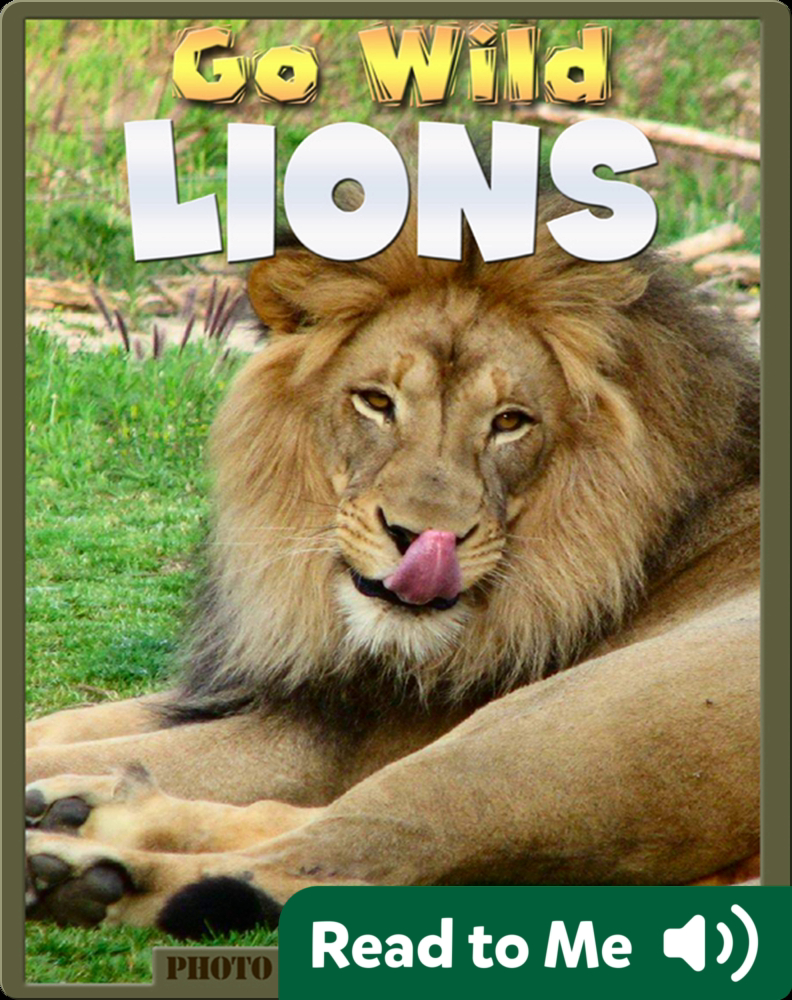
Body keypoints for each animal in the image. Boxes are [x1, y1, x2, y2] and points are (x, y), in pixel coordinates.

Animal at [25, 198, 760, 937]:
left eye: (510, 421)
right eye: (376, 402)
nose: (422, 538)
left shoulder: (324, 743)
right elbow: (60, 726)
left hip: (547, 734)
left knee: (335, 860)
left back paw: (81, 872)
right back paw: (82, 810)